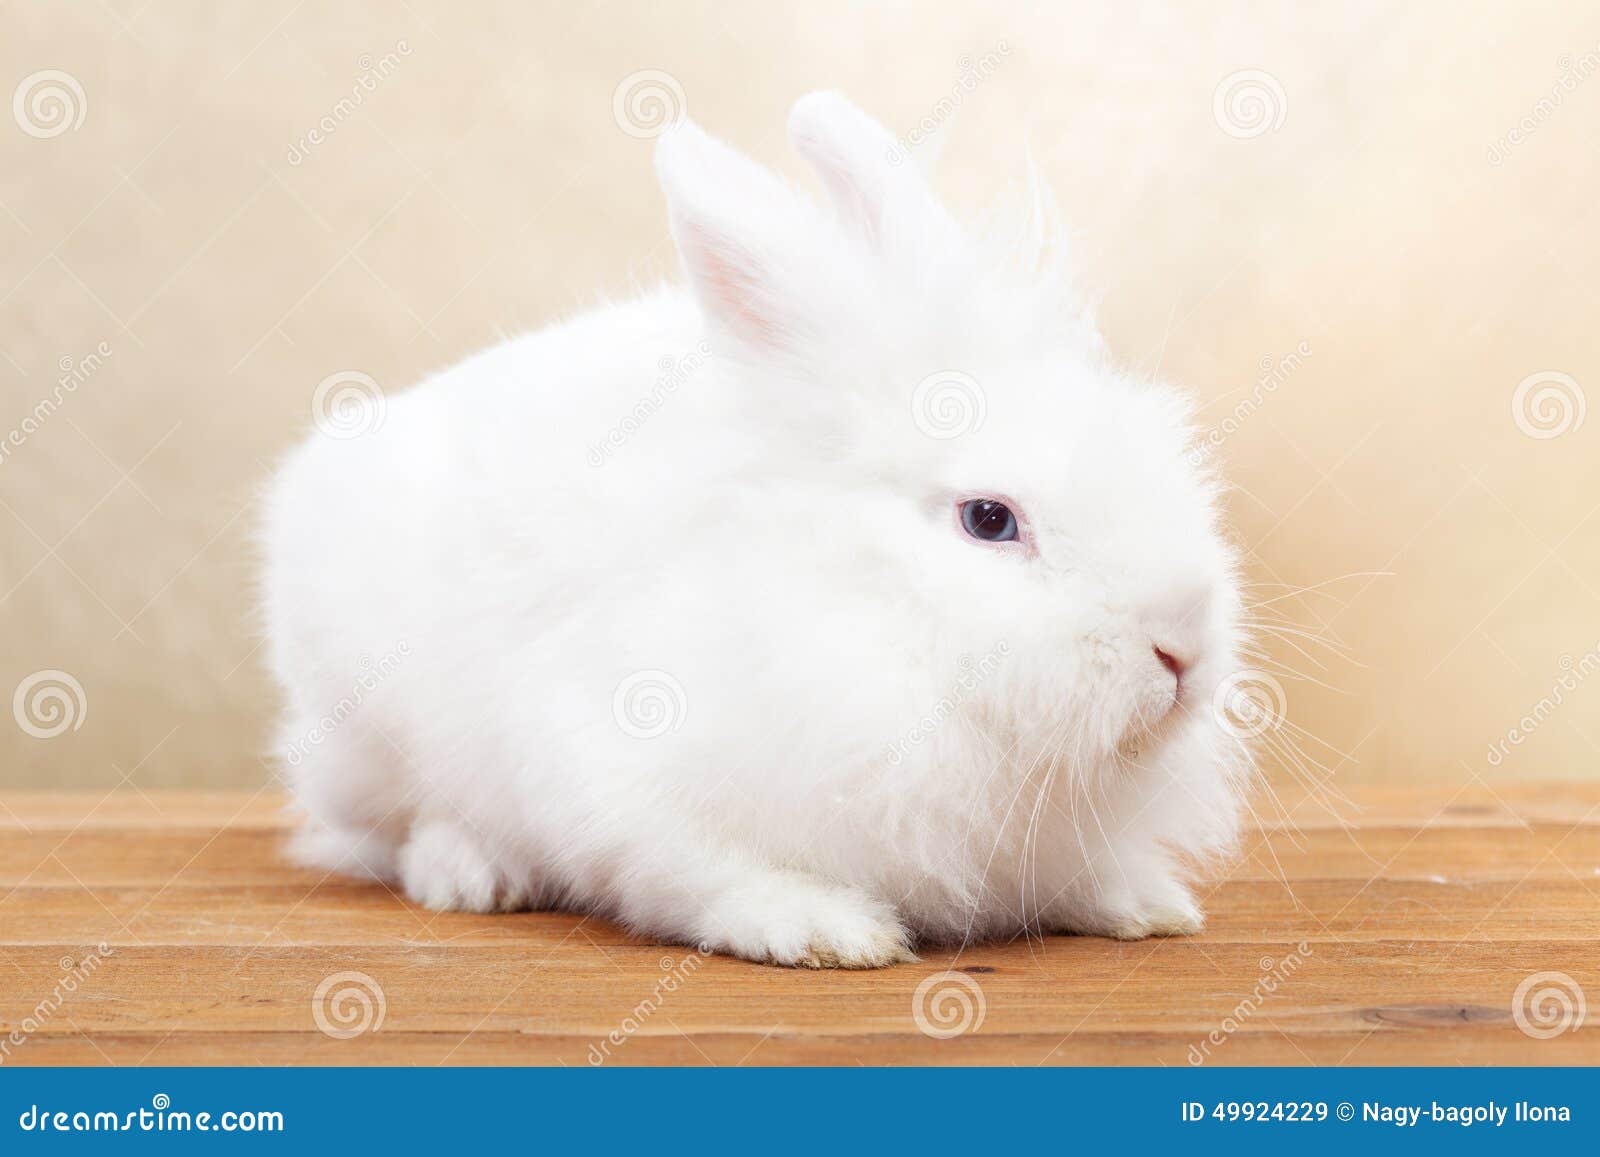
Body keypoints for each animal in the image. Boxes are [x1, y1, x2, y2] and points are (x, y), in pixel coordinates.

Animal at [260, 92, 1252, 968]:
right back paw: (474, 875)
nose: (1182, 648)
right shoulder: (623, 779)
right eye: (989, 519)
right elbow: (701, 877)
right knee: (396, 829)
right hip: (370, 731)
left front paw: (1147, 903)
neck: (876, 618)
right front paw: (823, 929)